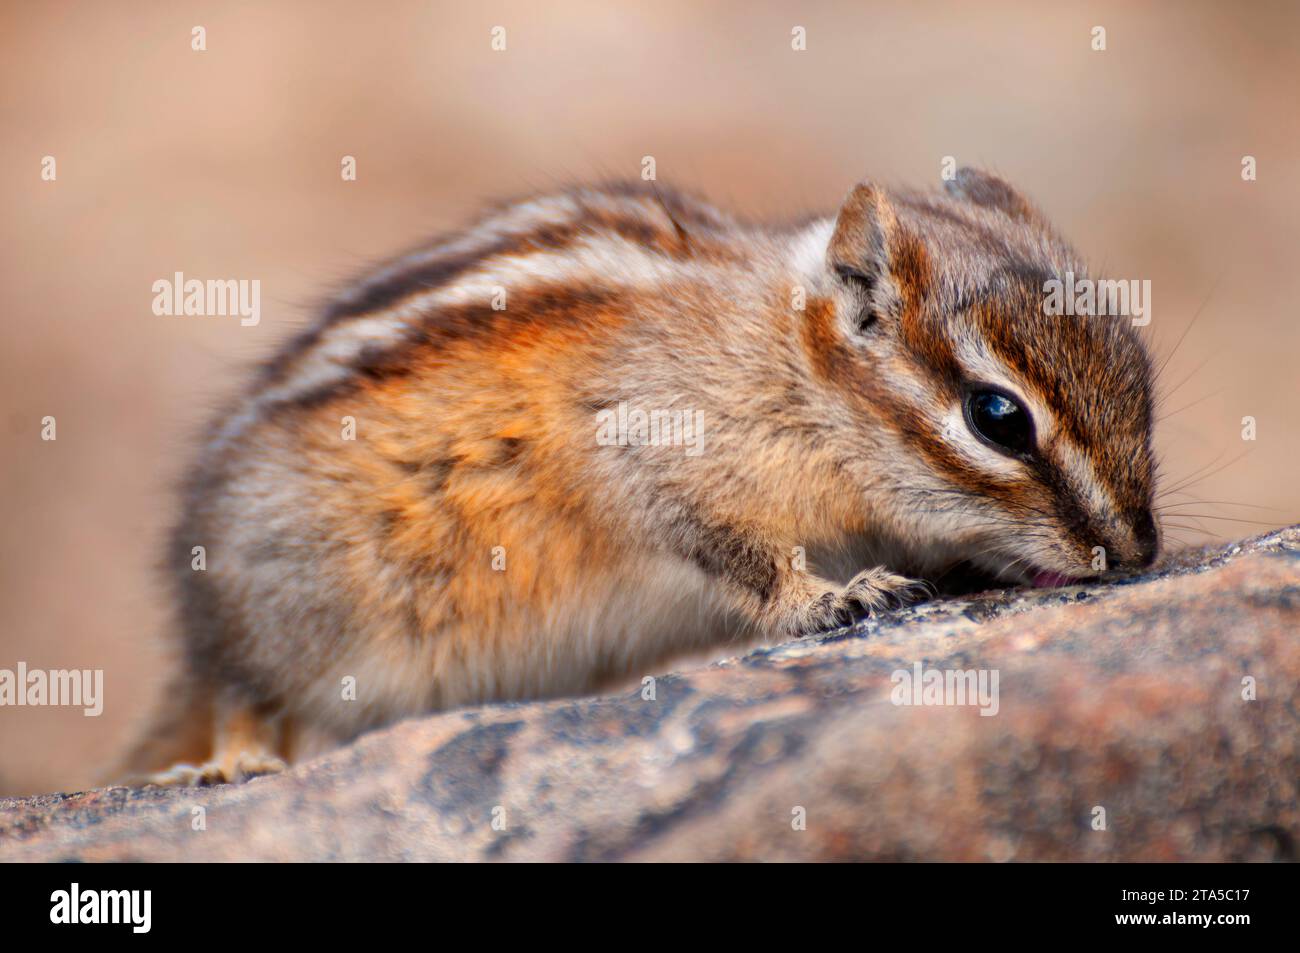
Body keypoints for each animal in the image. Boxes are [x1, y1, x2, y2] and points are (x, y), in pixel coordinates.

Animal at [122, 168, 1160, 784]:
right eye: (998, 417)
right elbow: (731, 548)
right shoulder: (650, 451)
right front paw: (830, 597)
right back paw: (234, 761)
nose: (1140, 551)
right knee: (238, 683)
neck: (787, 361)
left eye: (1141, 363)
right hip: (294, 603)